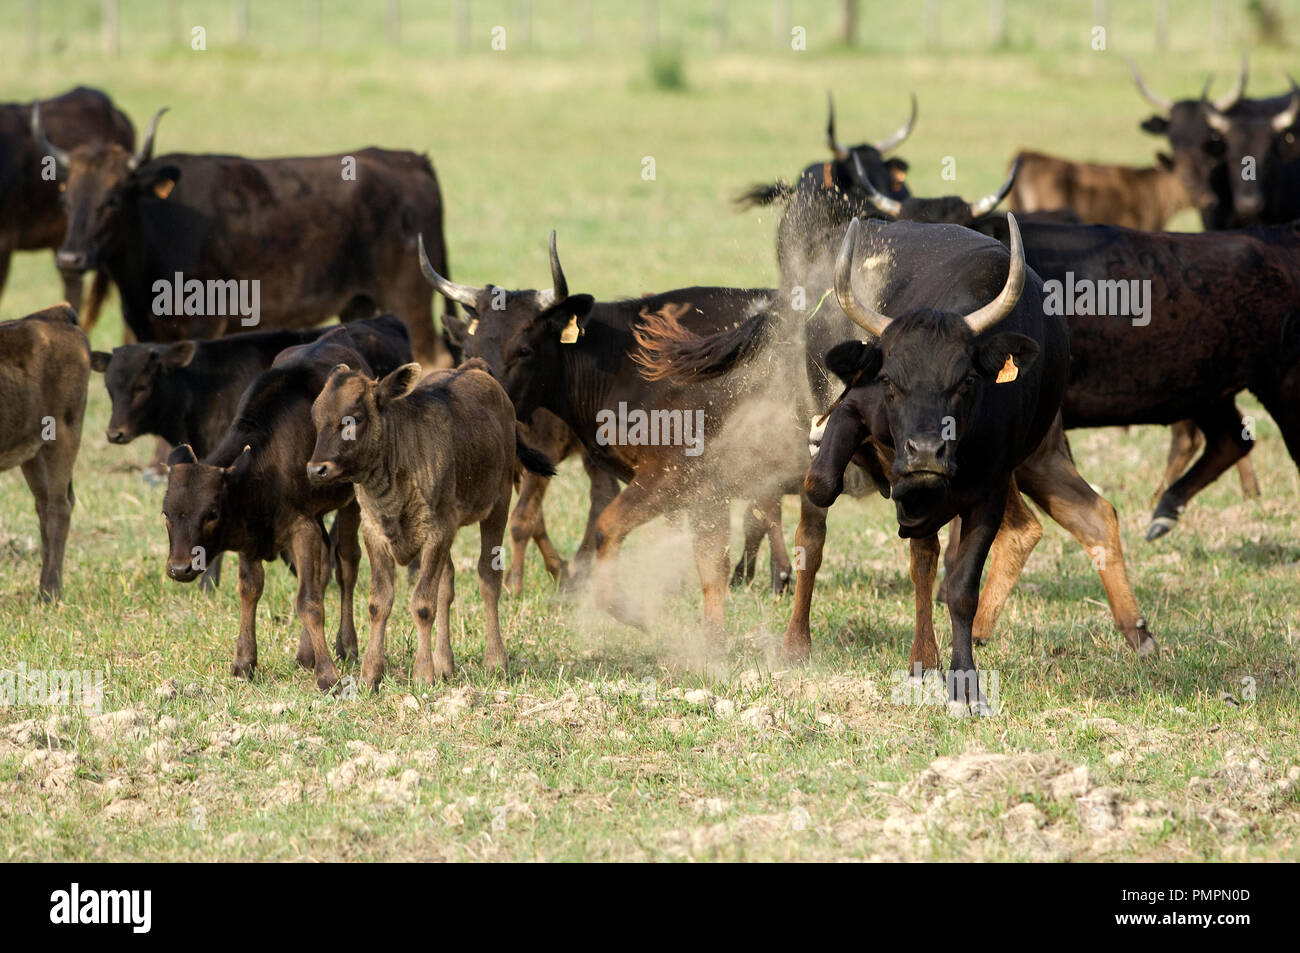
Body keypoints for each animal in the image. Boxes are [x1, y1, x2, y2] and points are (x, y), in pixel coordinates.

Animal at [0, 303, 89, 601]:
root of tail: (53, 314)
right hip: (32, 452)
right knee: (44, 505)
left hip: (64, 434)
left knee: (59, 507)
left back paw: (50, 592)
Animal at [32, 107, 456, 365]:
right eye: (67, 199)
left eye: (113, 200)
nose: (70, 258)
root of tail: (408, 160)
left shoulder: (203, 322)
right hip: (361, 302)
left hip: (409, 298)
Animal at [161, 331, 381, 691]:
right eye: (166, 513)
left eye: (211, 513)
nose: (180, 569)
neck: (268, 462)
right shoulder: (252, 535)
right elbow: (250, 590)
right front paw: (244, 662)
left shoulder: (301, 528)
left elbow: (308, 602)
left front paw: (327, 675)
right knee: (323, 568)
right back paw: (305, 654)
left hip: (350, 502)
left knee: (346, 565)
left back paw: (346, 646)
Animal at [307, 359, 554, 687]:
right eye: (316, 416)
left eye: (354, 419)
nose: (316, 469)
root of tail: (473, 367)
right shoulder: (375, 533)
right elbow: (379, 602)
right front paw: (371, 674)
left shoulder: (437, 531)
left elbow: (423, 604)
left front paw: (423, 673)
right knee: (447, 584)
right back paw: (445, 662)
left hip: (497, 504)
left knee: (488, 580)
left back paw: (495, 660)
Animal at [417, 233, 807, 640]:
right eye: (469, 349)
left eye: (524, 349)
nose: (483, 401)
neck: (628, 362)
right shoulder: (706, 491)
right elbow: (710, 565)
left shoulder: (673, 475)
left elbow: (608, 526)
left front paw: (625, 608)